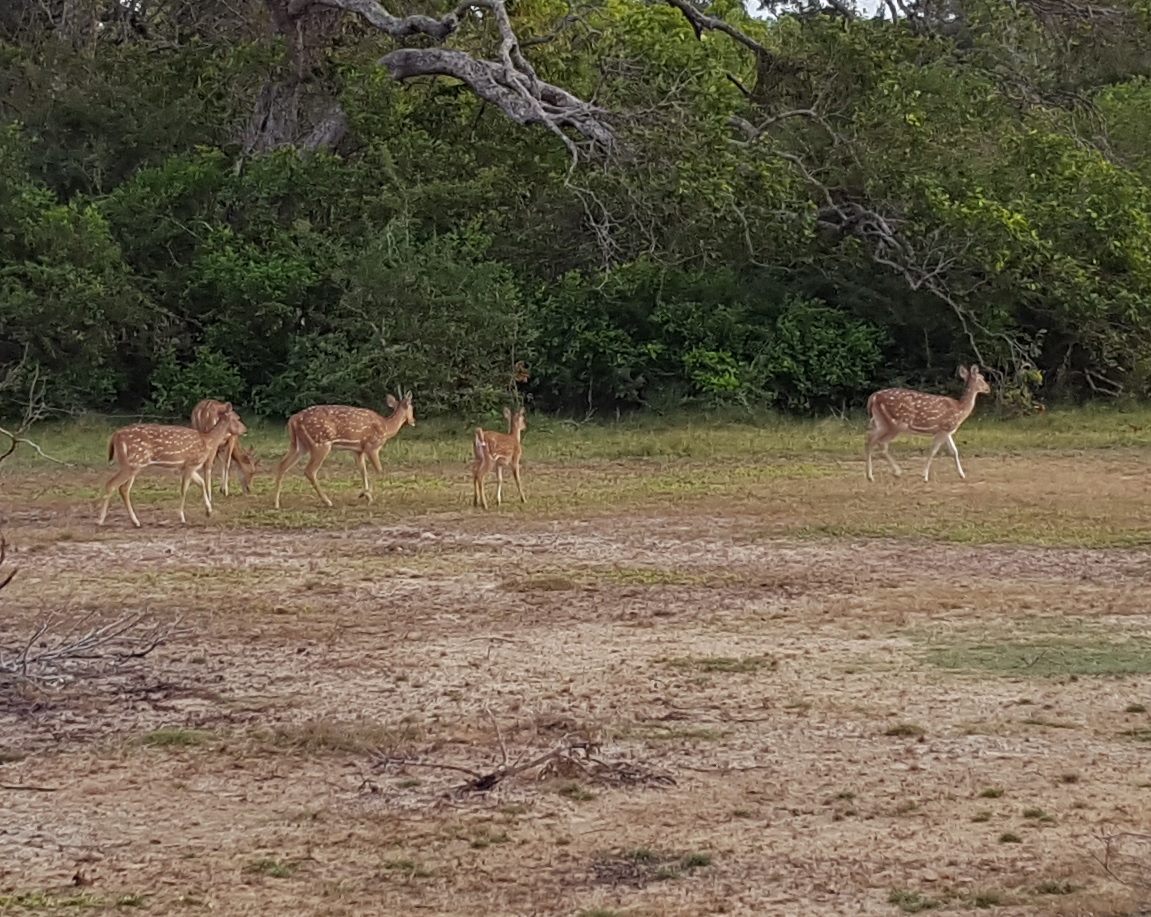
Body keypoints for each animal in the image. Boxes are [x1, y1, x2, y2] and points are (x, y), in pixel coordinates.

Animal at [97, 406, 248, 527]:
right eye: (238, 418)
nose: (245, 430)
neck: (208, 441)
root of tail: (114, 436)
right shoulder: (190, 464)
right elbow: (184, 490)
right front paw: (182, 517)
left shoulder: (187, 467)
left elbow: (201, 483)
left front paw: (209, 511)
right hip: (132, 463)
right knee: (112, 484)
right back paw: (101, 520)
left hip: (133, 465)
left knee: (123, 488)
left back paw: (135, 521)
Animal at [271, 391, 415, 509]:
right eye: (411, 407)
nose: (413, 420)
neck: (386, 428)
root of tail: (293, 420)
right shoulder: (372, 446)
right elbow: (379, 470)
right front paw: (365, 495)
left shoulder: (358, 450)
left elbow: (363, 471)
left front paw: (366, 496)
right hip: (321, 443)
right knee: (309, 471)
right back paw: (328, 501)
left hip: (299, 445)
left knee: (282, 465)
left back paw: (276, 503)